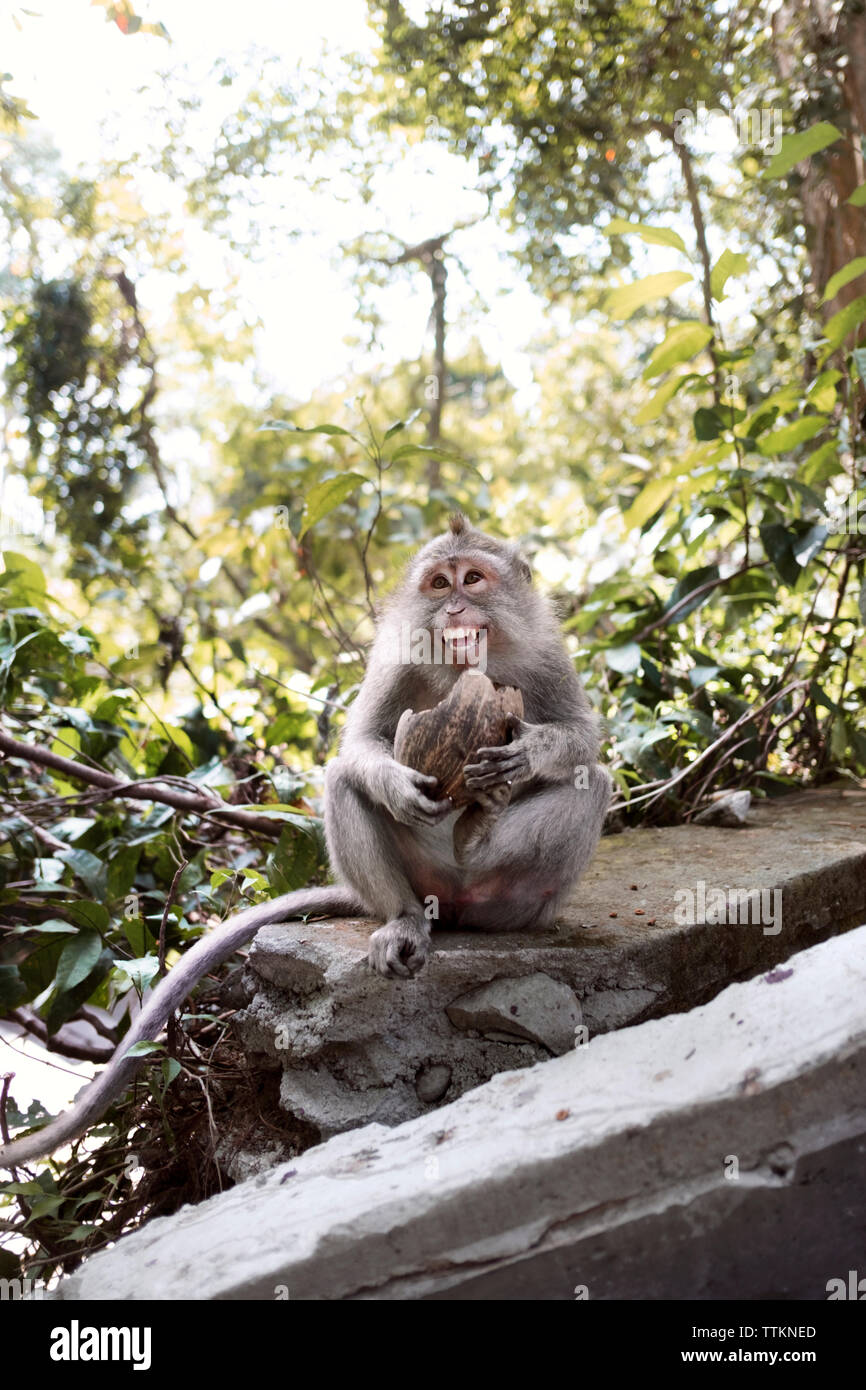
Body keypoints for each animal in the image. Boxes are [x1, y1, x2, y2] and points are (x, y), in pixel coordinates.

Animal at [0, 514, 610, 1168]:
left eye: (473, 579)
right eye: (439, 584)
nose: (454, 608)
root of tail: (456, 902)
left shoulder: (547, 655)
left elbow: (581, 737)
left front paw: (526, 754)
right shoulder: (395, 660)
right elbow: (361, 744)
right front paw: (398, 787)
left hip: (522, 900)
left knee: (591, 782)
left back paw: (481, 834)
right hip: (421, 879)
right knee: (344, 781)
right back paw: (407, 916)